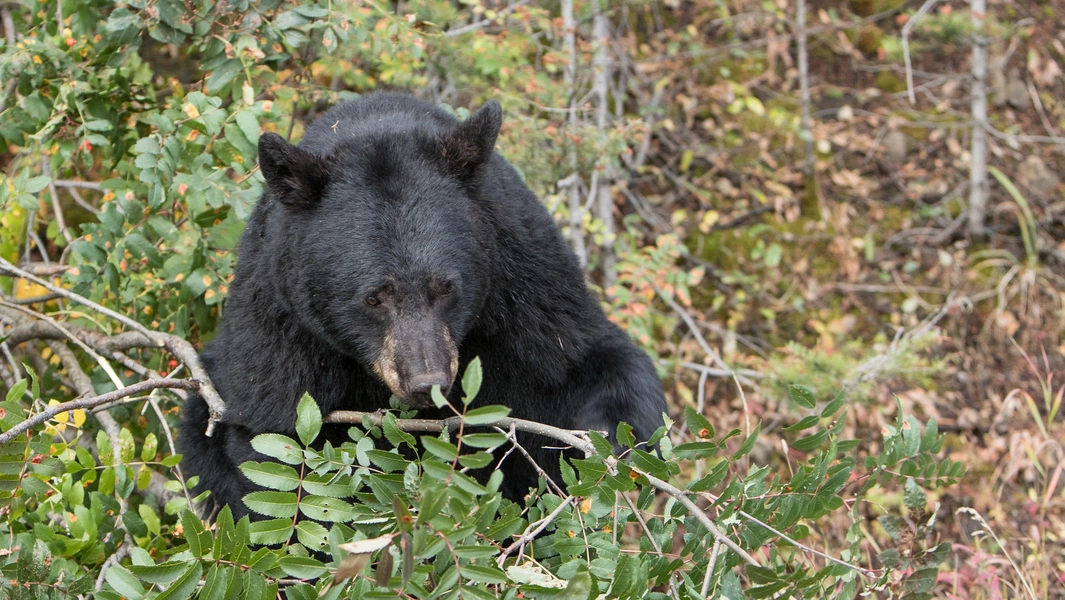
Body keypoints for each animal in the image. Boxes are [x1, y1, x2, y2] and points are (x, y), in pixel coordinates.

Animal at [178, 92, 668, 521]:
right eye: (373, 297)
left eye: (446, 288)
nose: (426, 381)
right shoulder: (282, 322)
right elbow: (274, 437)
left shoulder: (524, 279)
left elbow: (583, 361)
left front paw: (606, 442)